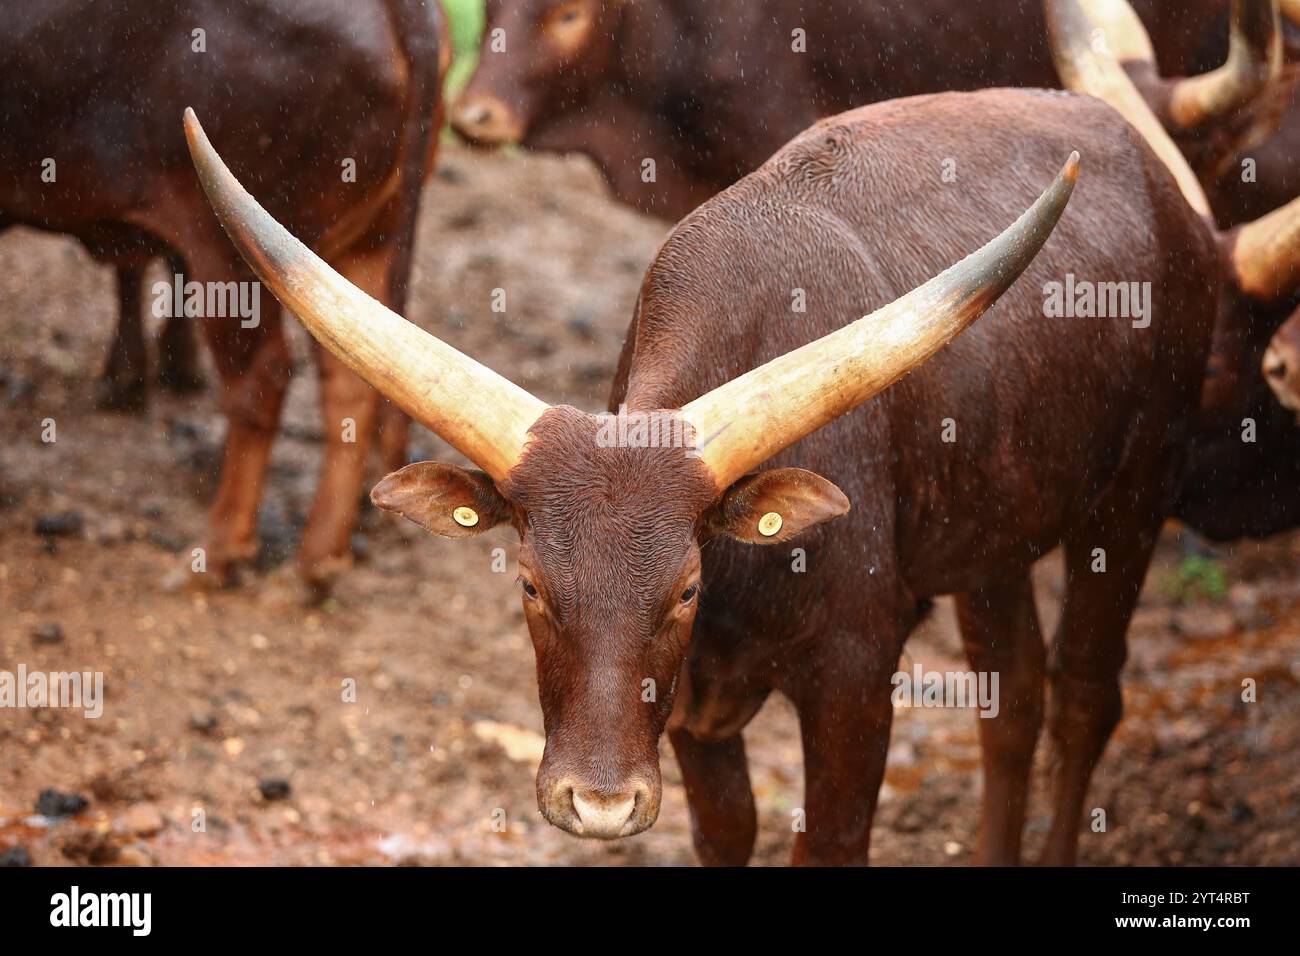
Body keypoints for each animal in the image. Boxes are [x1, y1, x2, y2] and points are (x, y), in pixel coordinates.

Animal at [0, 0, 446, 591]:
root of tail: (405, 11)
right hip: (361, 248)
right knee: (353, 385)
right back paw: (318, 559)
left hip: (234, 250)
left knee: (262, 382)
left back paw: (217, 552)